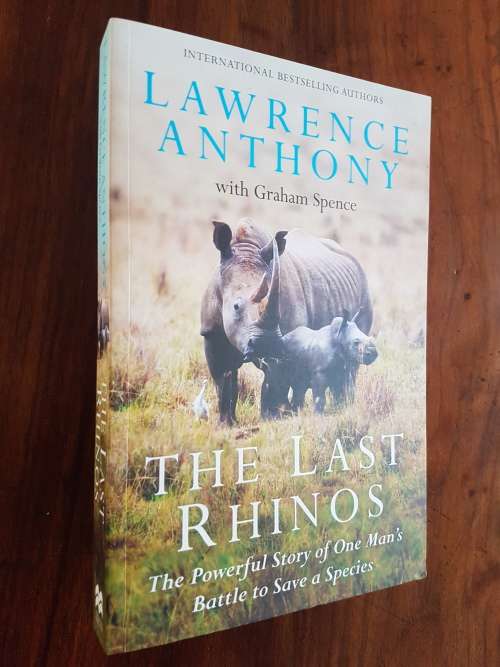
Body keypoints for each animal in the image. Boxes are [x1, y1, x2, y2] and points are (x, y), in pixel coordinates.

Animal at [200, 219, 372, 424]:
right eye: (235, 306)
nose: (265, 343)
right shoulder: (211, 333)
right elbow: (224, 380)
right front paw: (227, 423)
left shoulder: (283, 345)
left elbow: (275, 381)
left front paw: (273, 418)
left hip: (363, 294)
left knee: (352, 362)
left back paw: (342, 408)